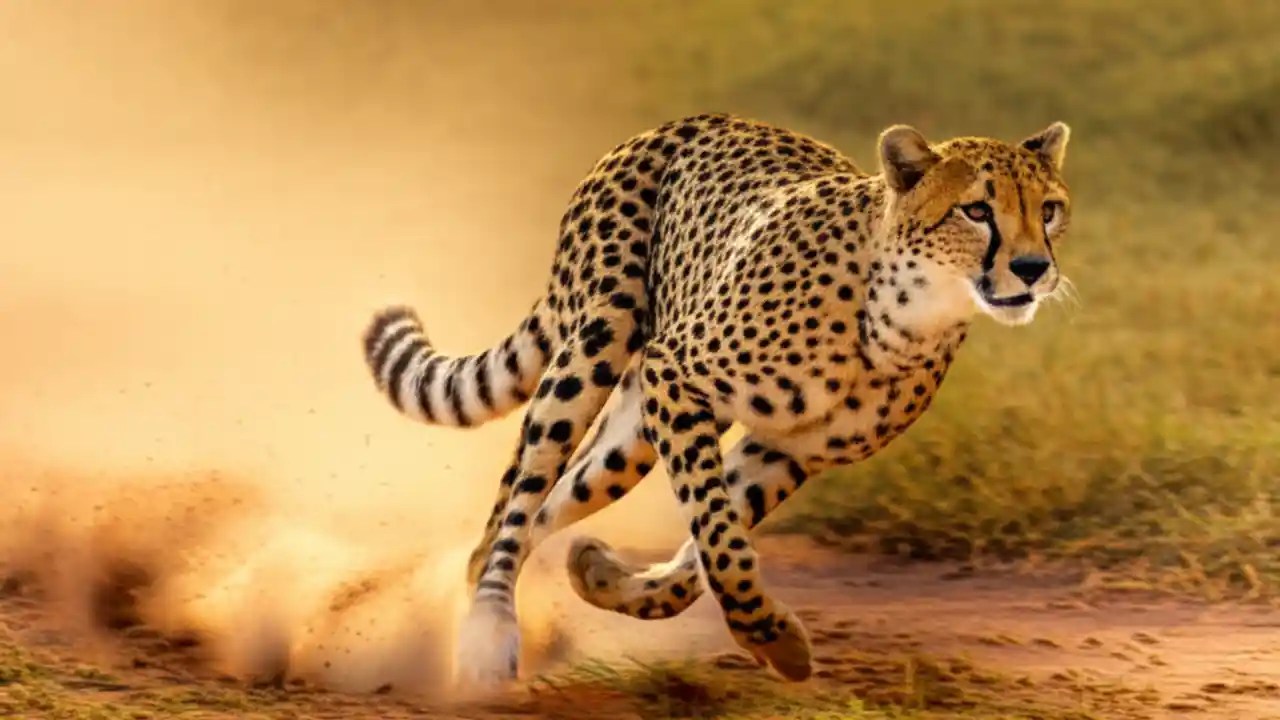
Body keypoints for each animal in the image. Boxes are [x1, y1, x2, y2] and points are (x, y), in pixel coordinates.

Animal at [361, 112, 1072, 686]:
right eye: (976, 210)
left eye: (1049, 210)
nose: (1034, 268)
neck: (902, 313)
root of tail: (679, 123)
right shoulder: (677, 376)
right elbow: (718, 536)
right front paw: (771, 637)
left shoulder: (790, 450)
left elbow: (708, 547)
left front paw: (623, 583)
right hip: (595, 345)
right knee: (515, 504)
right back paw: (489, 632)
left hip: (628, 440)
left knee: (540, 509)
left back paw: (542, 587)